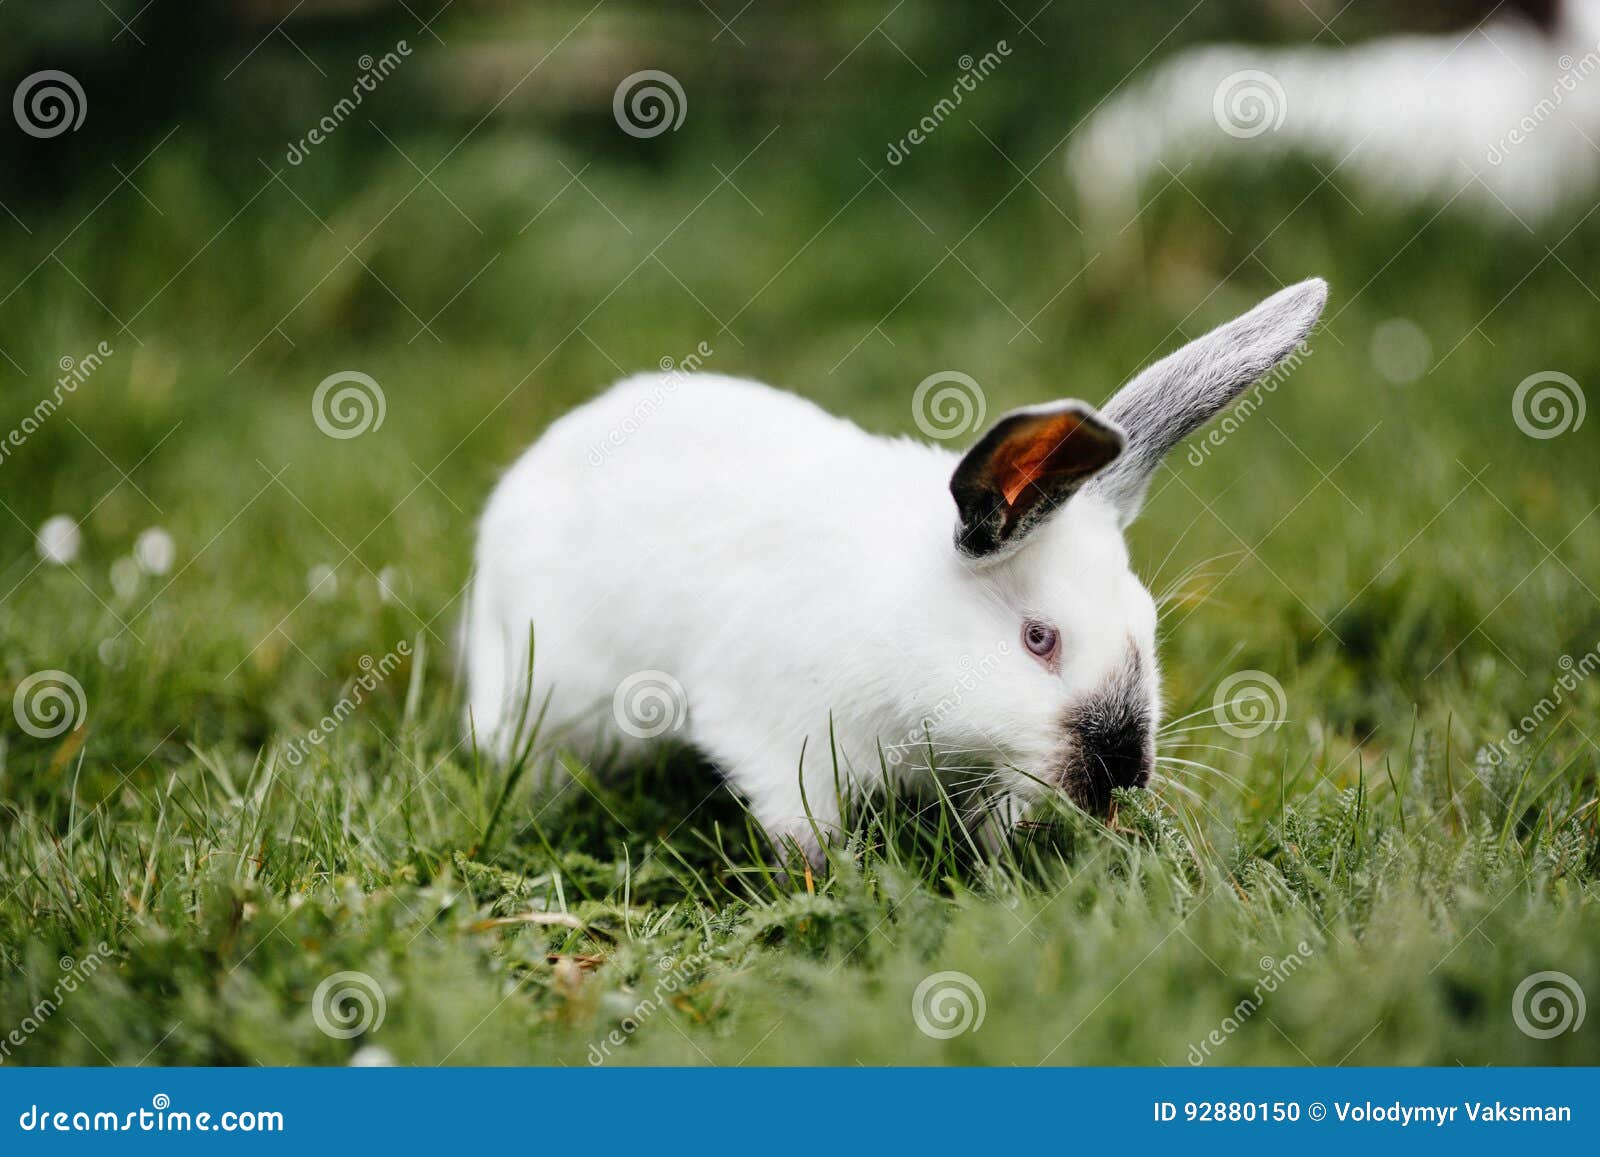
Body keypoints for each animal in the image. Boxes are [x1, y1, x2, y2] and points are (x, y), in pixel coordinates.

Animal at [464, 278, 1327, 865]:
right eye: (1039, 639)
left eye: (1146, 624)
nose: (1119, 778)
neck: (909, 623)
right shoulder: (781, 741)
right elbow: (803, 831)